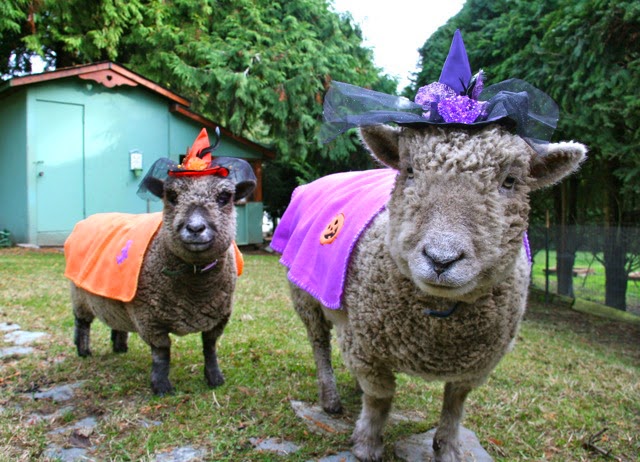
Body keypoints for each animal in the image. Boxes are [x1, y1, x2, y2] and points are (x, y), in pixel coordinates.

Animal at [64, 129, 256, 395]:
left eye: (225, 197)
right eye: (171, 196)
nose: (195, 228)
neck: (196, 284)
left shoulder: (218, 317)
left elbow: (210, 349)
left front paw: (215, 379)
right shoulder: (149, 319)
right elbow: (162, 353)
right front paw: (162, 387)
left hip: (115, 297)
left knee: (116, 321)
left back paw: (120, 347)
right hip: (79, 296)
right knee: (82, 323)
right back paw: (83, 351)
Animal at [275, 123, 585, 461]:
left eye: (510, 181)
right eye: (410, 170)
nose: (441, 259)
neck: (437, 327)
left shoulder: (476, 364)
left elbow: (455, 405)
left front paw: (448, 448)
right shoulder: (367, 346)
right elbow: (379, 399)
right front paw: (367, 445)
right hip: (305, 298)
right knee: (320, 344)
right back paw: (330, 398)